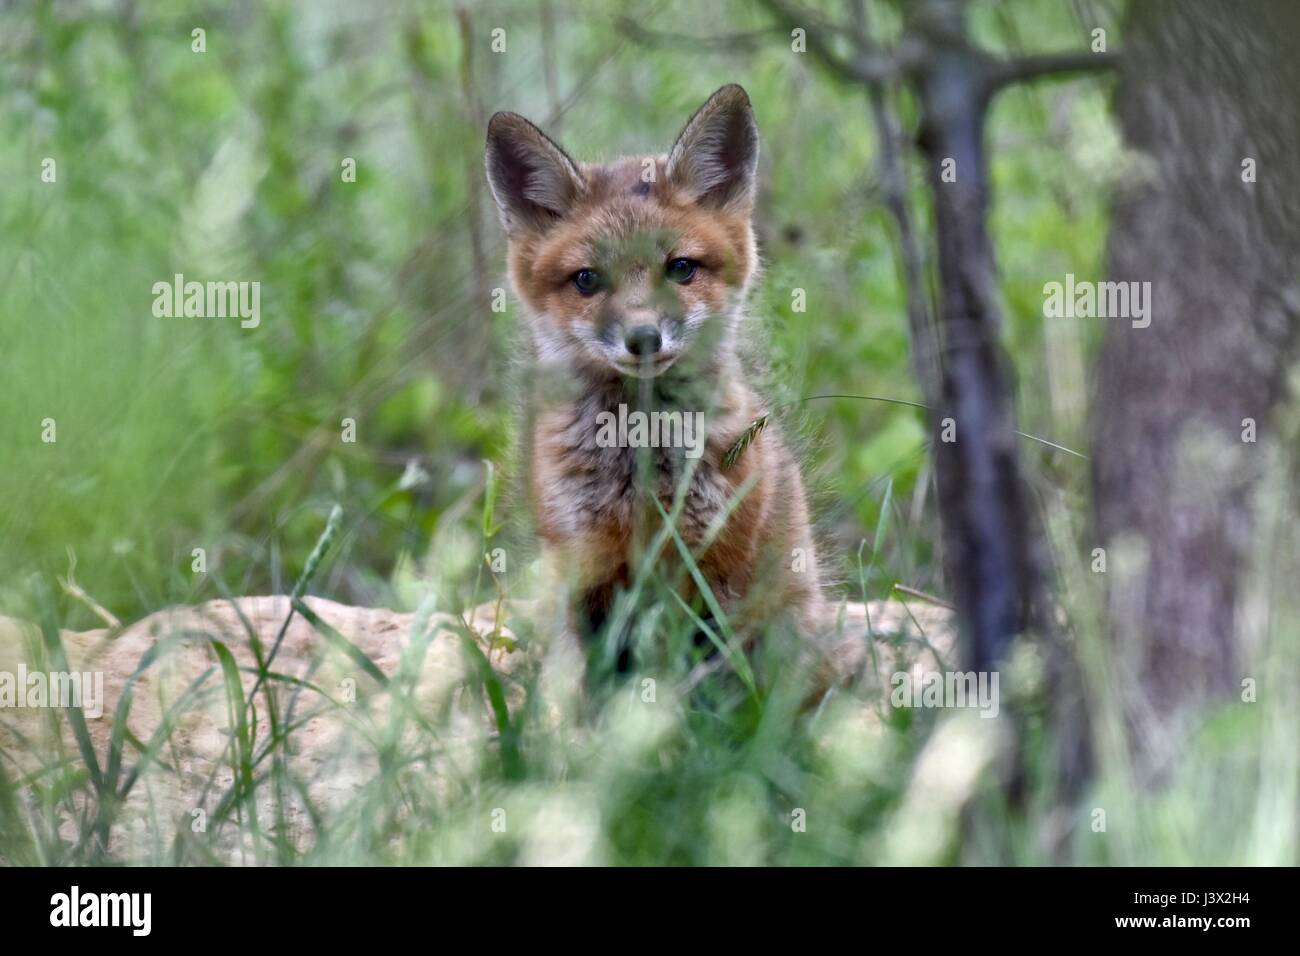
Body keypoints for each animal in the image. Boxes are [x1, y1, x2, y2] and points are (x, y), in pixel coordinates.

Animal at [484, 84, 822, 667]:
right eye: (587, 280)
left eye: (681, 268)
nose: (643, 338)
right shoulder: (583, 565)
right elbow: (579, 681)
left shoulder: (716, 567)